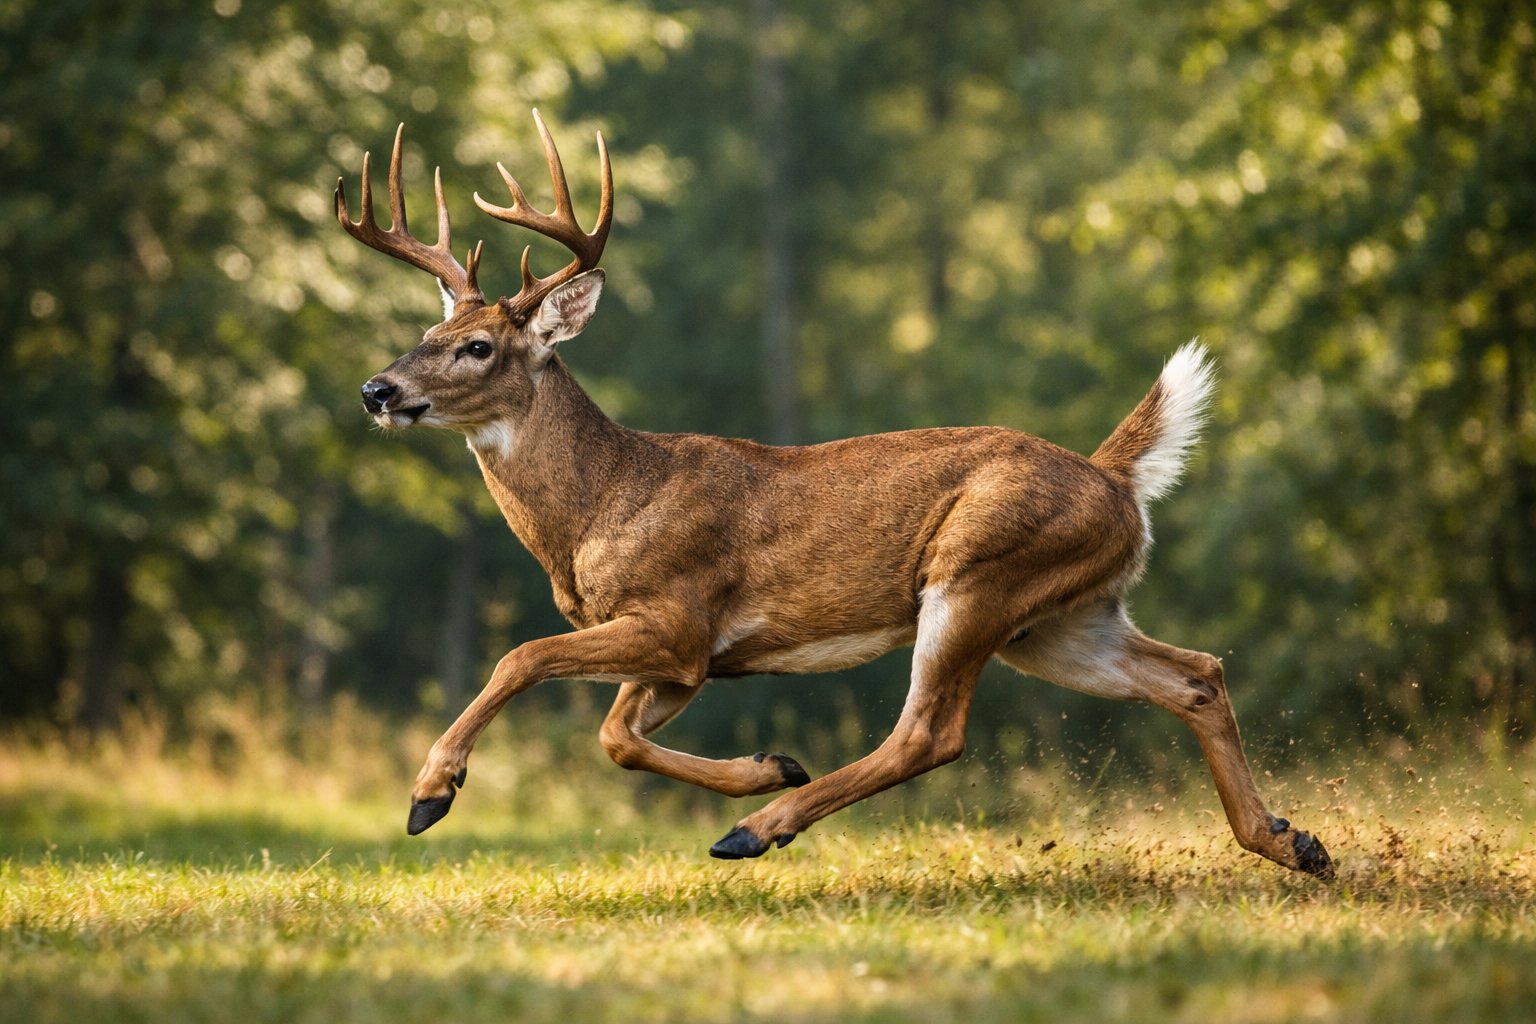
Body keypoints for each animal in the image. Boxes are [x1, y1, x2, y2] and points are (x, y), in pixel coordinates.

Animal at [334, 111, 1333, 878]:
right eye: (426, 329)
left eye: (477, 347)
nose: (377, 389)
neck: (598, 508)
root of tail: (1113, 476)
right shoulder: (687, 658)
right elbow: (616, 736)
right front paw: (771, 762)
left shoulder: (677, 617)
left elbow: (524, 656)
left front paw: (430, 792)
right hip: (1057, 620)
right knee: (1195, 674)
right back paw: (1292, 843)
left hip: (977, 573)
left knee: (931, 732)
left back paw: (752, 834)